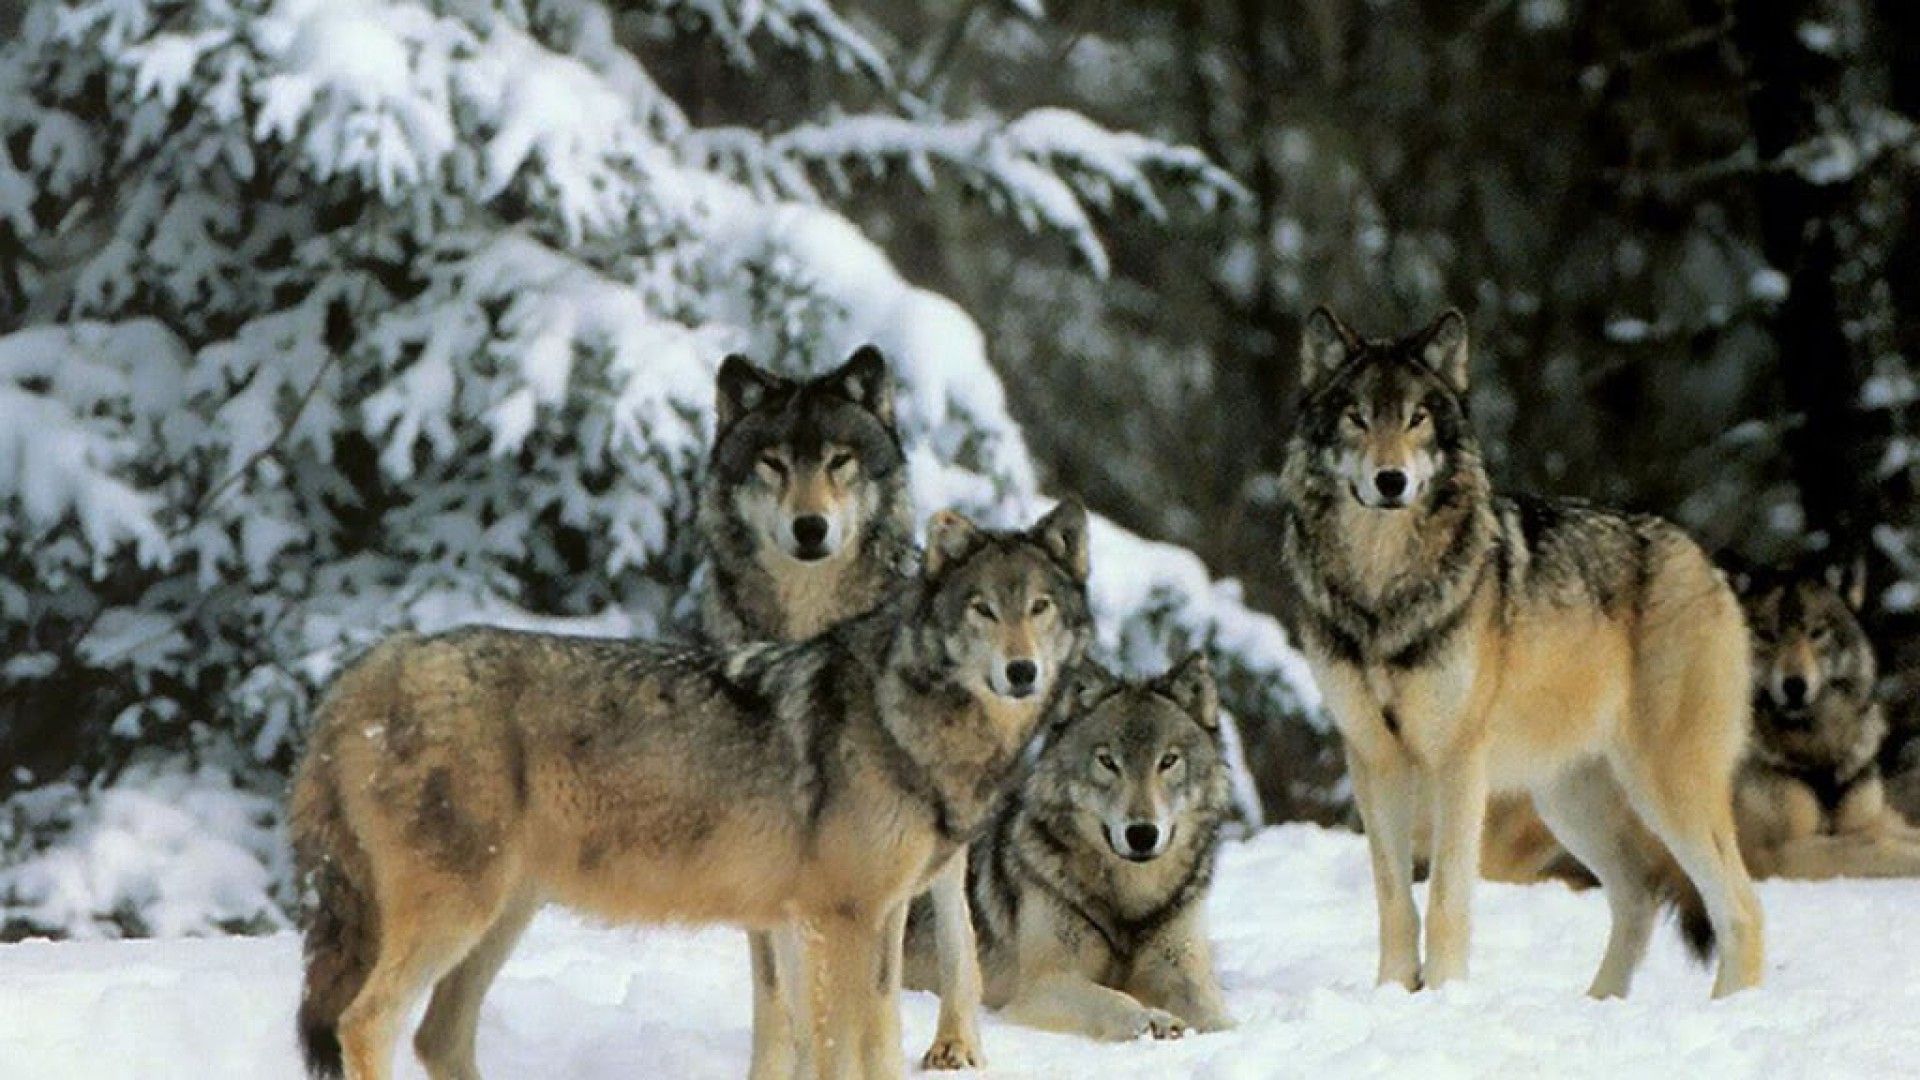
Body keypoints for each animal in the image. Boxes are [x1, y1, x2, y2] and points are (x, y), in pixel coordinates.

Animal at [290, 502, 1093, 1080]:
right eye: (983, 608)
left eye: (1041, 607)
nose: (1021, 672)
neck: (903, 716)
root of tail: (372, 666)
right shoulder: (839, 921)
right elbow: (842, 1053)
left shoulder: (857, 920)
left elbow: (870, 1045)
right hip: (460, 915)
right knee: (365, 1023)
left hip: (500, 919)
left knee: (437, 1037)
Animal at [697, 347, 986, 1074]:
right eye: (773, 463)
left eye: (838, 461)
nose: (810, 527)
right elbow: (779, 992)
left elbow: (874, 994)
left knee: (958, 933)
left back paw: (954, 1042)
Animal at [903, 654, 1235, 1043]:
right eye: (1108, 762)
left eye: (1168, 761)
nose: (1141, 834)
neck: (1129, 903)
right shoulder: (1039, 987)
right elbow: (1115, 999)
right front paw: (1153, 1020)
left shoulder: (1182, 968)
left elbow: (1215, 1013)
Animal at [1277, 306, 1764, 999]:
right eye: (1358, 417)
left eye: (1417, 418)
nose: (1392, 481)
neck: (1383, 591)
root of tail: (1704, 558)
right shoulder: (1374, 760)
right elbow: (1395, 902)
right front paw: (1394, 994)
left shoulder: (1457, 761)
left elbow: (1447, 900)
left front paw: (1444, 996)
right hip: (1569, 801)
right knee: (1640, 895)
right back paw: (1598, 1005)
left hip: (1668, 788)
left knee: (1740, 909)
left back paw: (1727, 1009)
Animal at [1728, 556, 1920, 879]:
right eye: (1767, 635)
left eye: (1817, 632)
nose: (1794, 685)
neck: (1817, 750)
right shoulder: (1769, 857)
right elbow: (1871, 848)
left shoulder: (1866, 820)